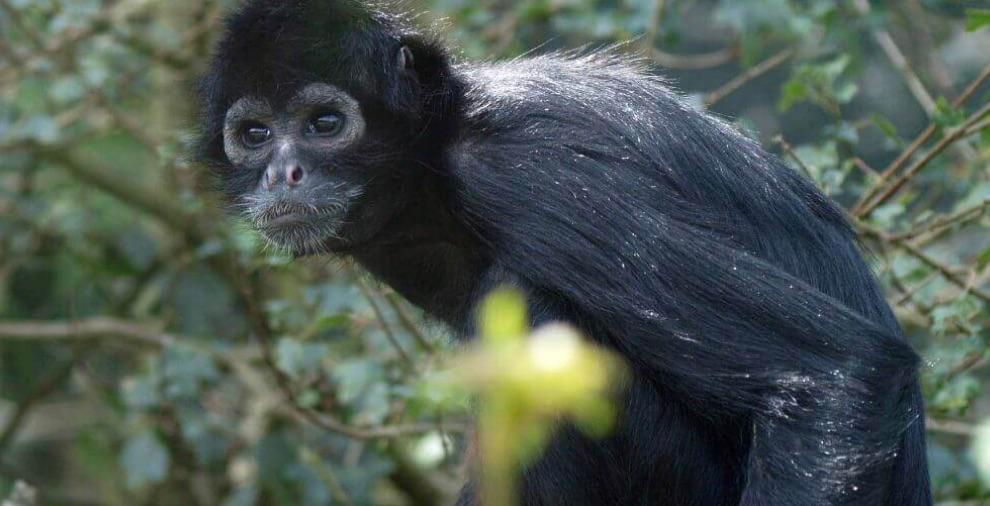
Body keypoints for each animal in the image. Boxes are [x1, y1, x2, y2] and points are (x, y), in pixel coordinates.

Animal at [196, 1, 931, 504]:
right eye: (255, 135)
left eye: (324, 123)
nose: (283, 174)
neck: (444, 141)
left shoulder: (528, 172)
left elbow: (841, 370)